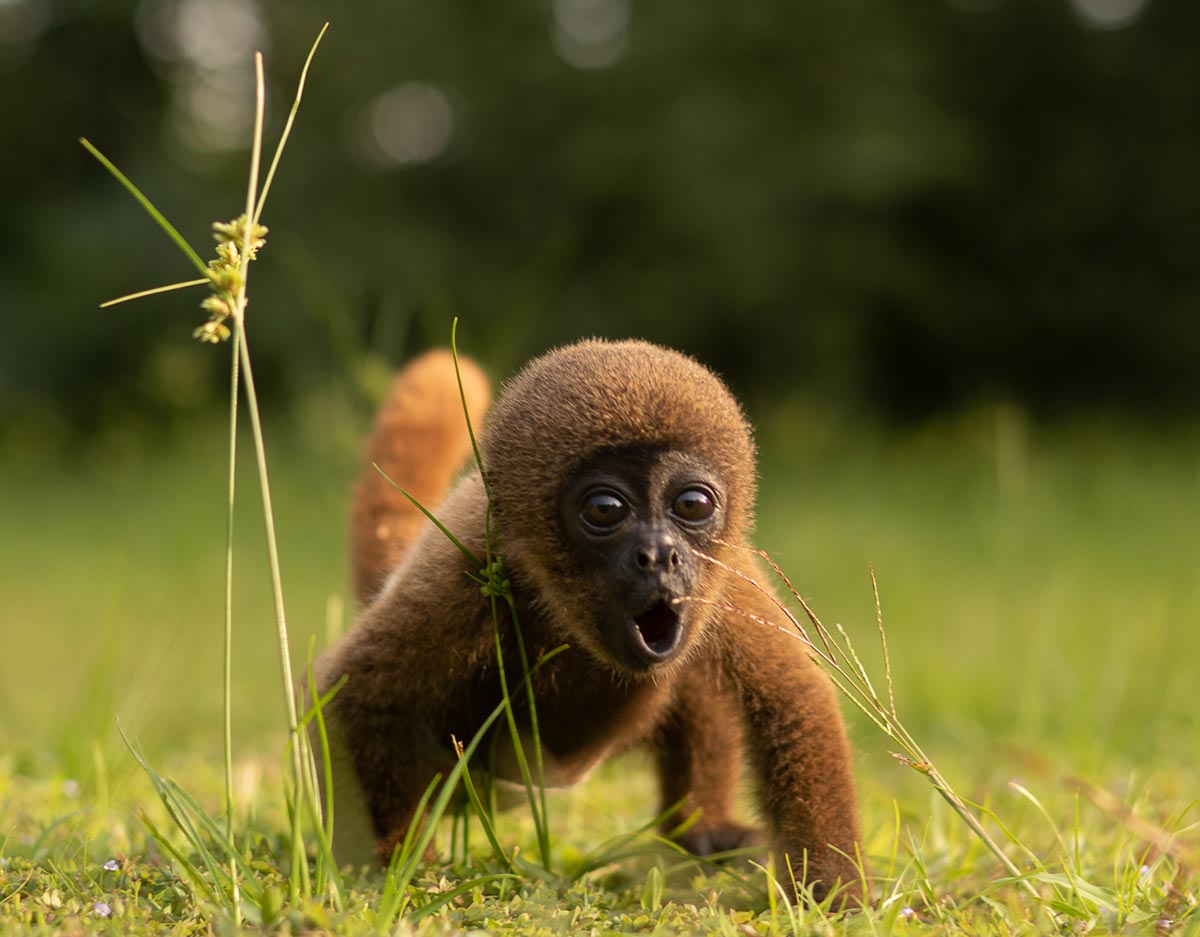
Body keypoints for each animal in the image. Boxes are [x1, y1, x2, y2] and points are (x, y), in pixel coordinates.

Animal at [316, 340, 864, 905]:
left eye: (692, 504)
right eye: (605, 509)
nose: (659, 555)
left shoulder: (727, 579)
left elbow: (792, 699)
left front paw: (833, 894)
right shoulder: (461, 568)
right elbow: (353, 690)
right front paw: (390, 866)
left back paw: (702, 830)